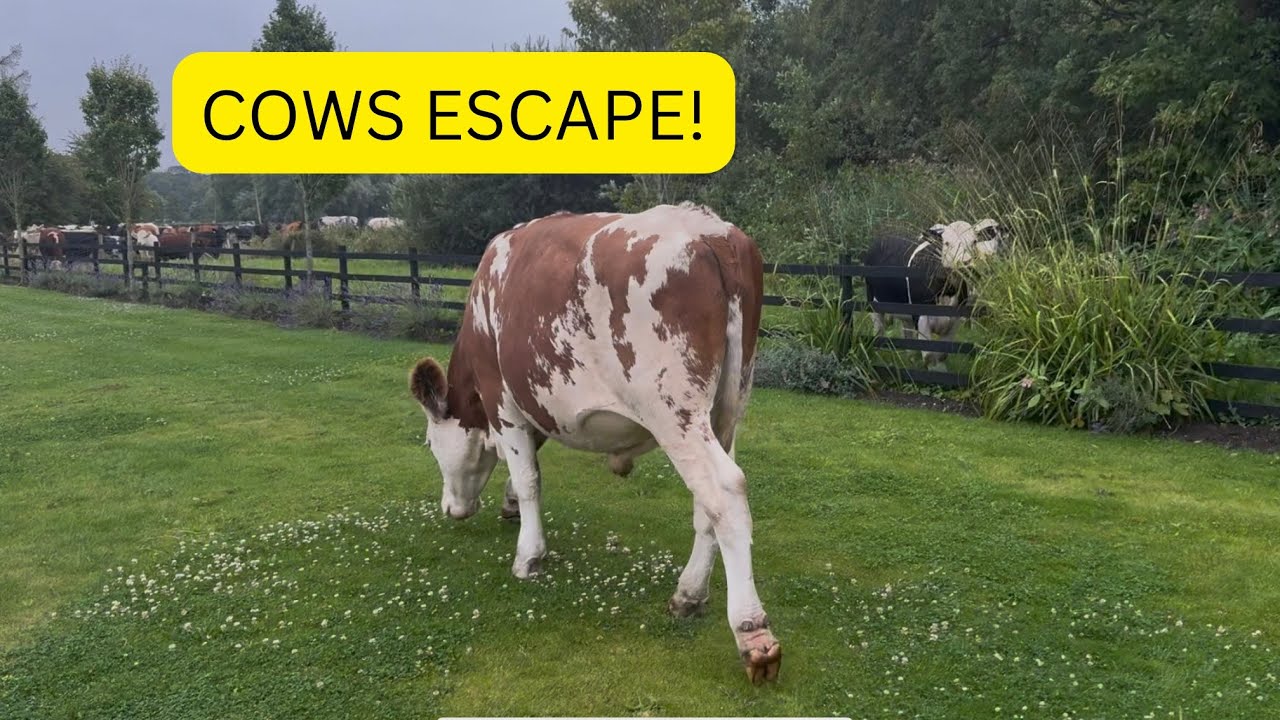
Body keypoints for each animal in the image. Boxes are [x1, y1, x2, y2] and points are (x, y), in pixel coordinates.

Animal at [406, 203, 781, 683]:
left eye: (431, 443)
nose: (449, 508)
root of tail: (710, 229)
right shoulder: (535, 396)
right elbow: (528, 459)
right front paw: (509, 505)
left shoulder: (501, 396)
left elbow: (528, 476)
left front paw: (529, 555)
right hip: (727, 408)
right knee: (709, 502)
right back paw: (689, 593)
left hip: (673, 410)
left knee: (724, 490)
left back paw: (752, 633)